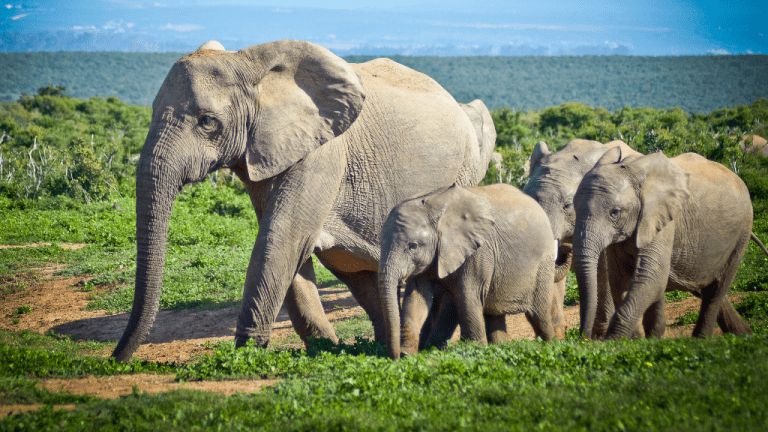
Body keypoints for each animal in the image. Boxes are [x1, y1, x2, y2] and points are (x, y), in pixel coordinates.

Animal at [112, 40, 495, 361]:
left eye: (207, 122)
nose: (117, 360)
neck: (248, 64)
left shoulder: (323, 152)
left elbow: (281, 237)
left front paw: (245, 355)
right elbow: (285, 243)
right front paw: (327, 348)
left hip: (464, 170)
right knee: (354, 268)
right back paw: (384, 345)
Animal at [378, 183, 559, 360]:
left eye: (413, 246)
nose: (394, 358)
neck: (434, 205)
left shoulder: (478, 252)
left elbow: (468, 296)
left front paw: (474, 351)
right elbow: (416, 299)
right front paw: (407, 355)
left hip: (543, 263)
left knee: (538, 315)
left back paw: (551, 347)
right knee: (494, 314)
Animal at [572, 148, 761, 340]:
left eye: (615, 212)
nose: (584, 338)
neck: (633, 170)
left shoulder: (662, 219)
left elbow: (652, 277)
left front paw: (613, 342)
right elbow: (620, 279)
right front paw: (637, 340)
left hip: (743, 231)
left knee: (717, 290)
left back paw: (703, 339)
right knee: (701, 286)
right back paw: (745, 334)